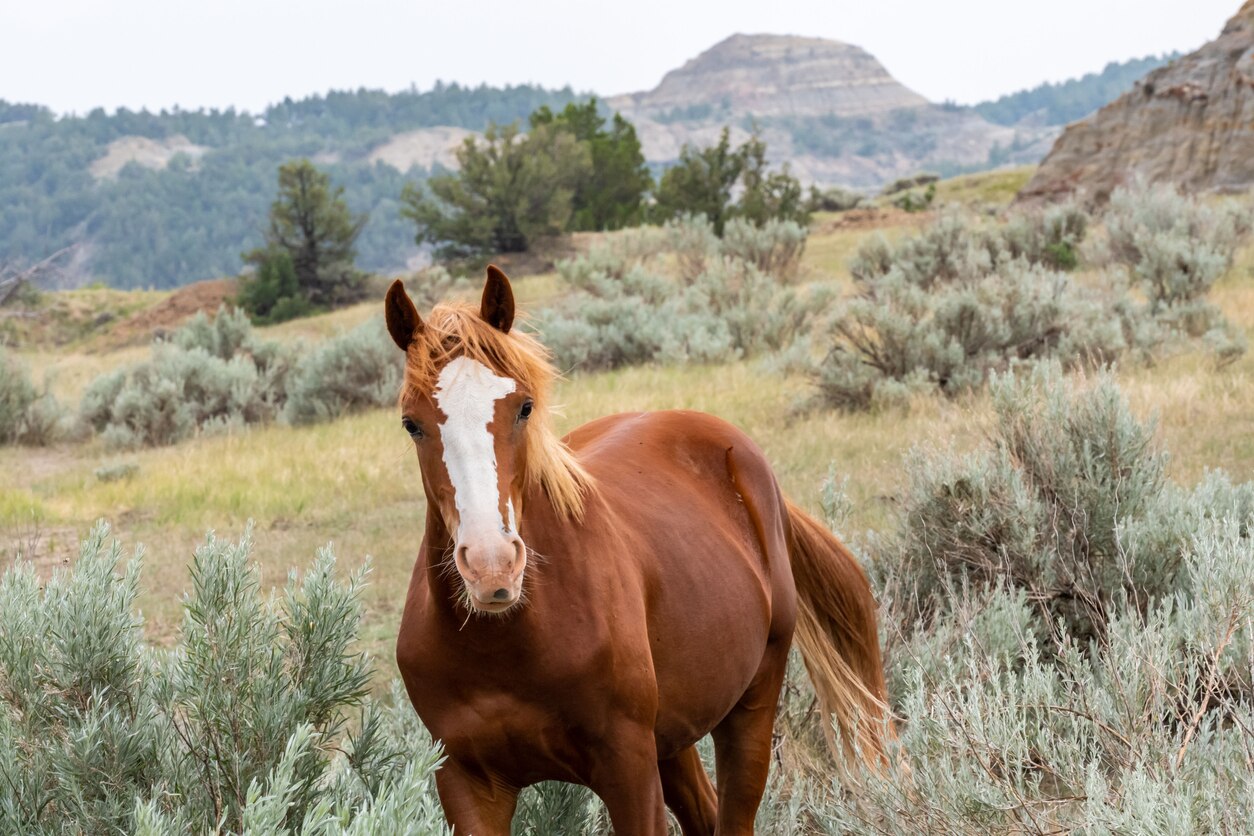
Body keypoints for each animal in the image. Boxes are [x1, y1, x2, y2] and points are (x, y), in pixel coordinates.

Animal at [387, 265, 892, 835]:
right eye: (412, 423)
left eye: (523, 407)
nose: (492, 567)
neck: (509, 644)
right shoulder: (468, 783)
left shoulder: (627, 769)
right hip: (672, 737)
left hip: (752, 700)